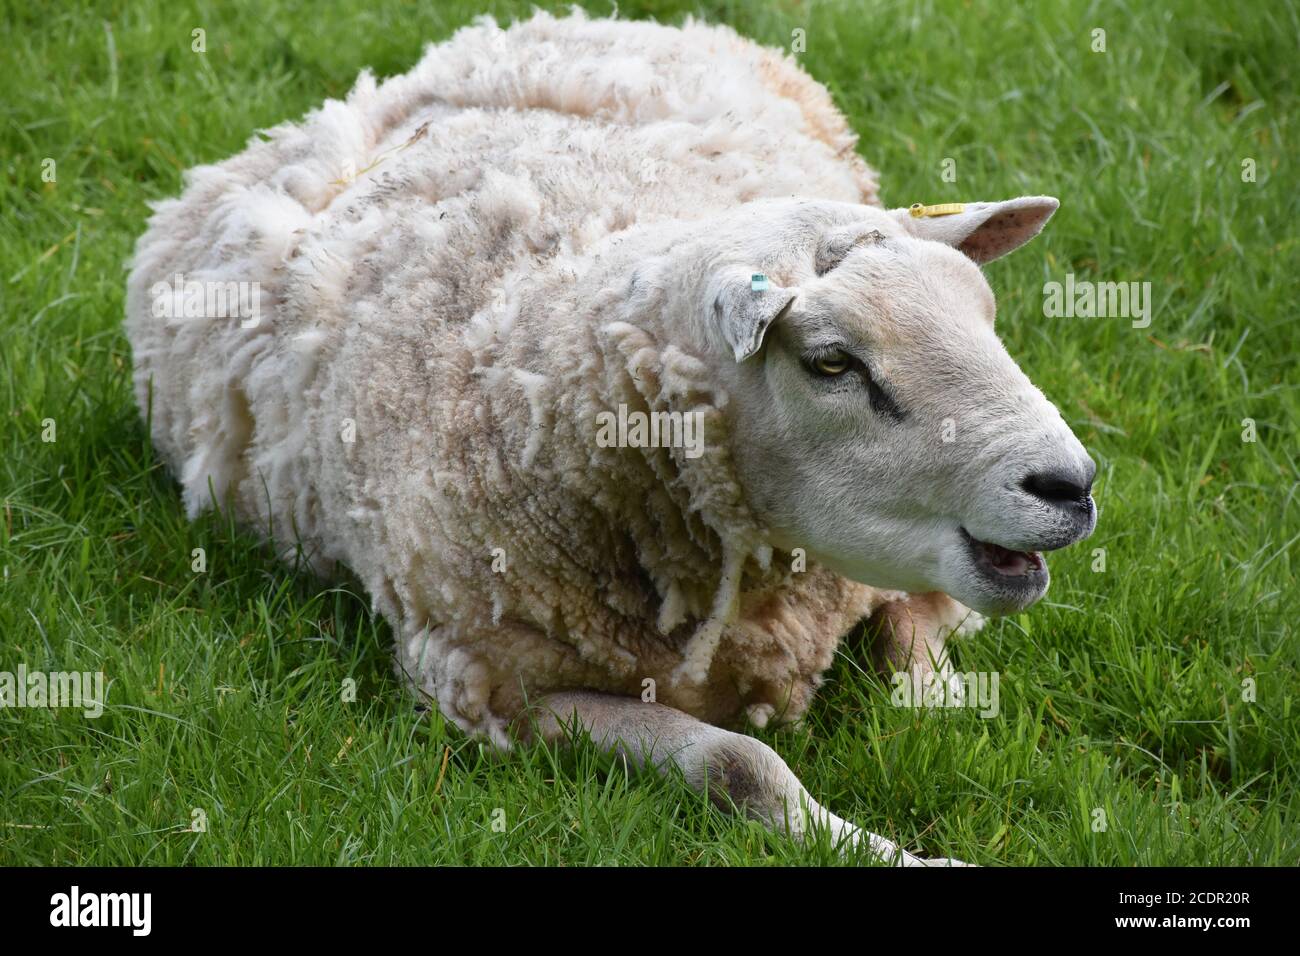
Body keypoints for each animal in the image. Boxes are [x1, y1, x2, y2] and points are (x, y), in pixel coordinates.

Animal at [125, 10, 1096, 866]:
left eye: (986, 313)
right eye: (831, 362)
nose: (1071, 484)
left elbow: (921, 652)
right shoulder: (503, 691)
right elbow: (739, 764)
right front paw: (904, 853)